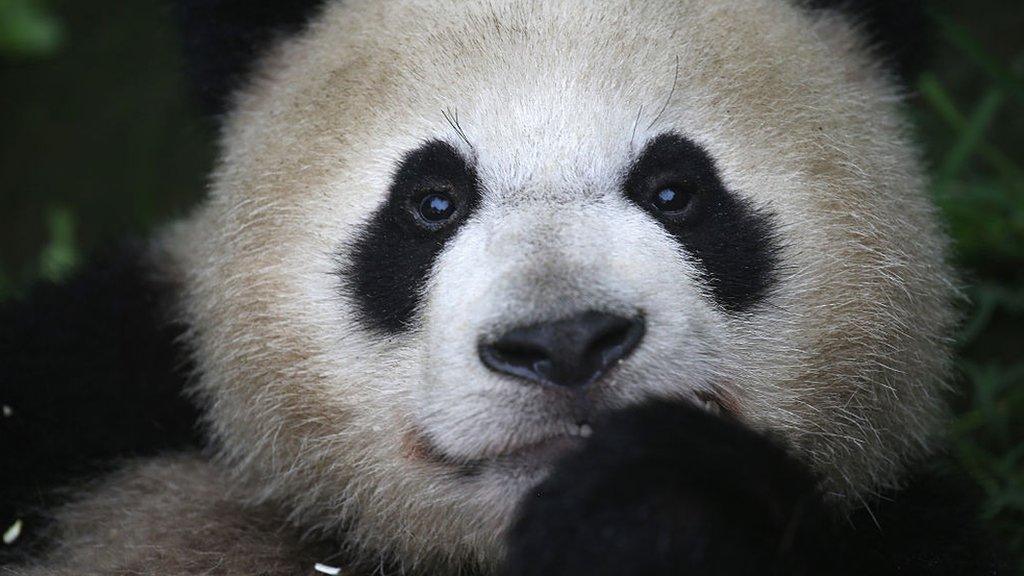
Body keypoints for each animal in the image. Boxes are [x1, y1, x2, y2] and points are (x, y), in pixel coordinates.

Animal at [0, 0, 1008, 574]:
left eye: (676, 191)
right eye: (432, 201)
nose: (565, 343)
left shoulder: (906, 529)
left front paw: (645, 513)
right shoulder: (102, 371)